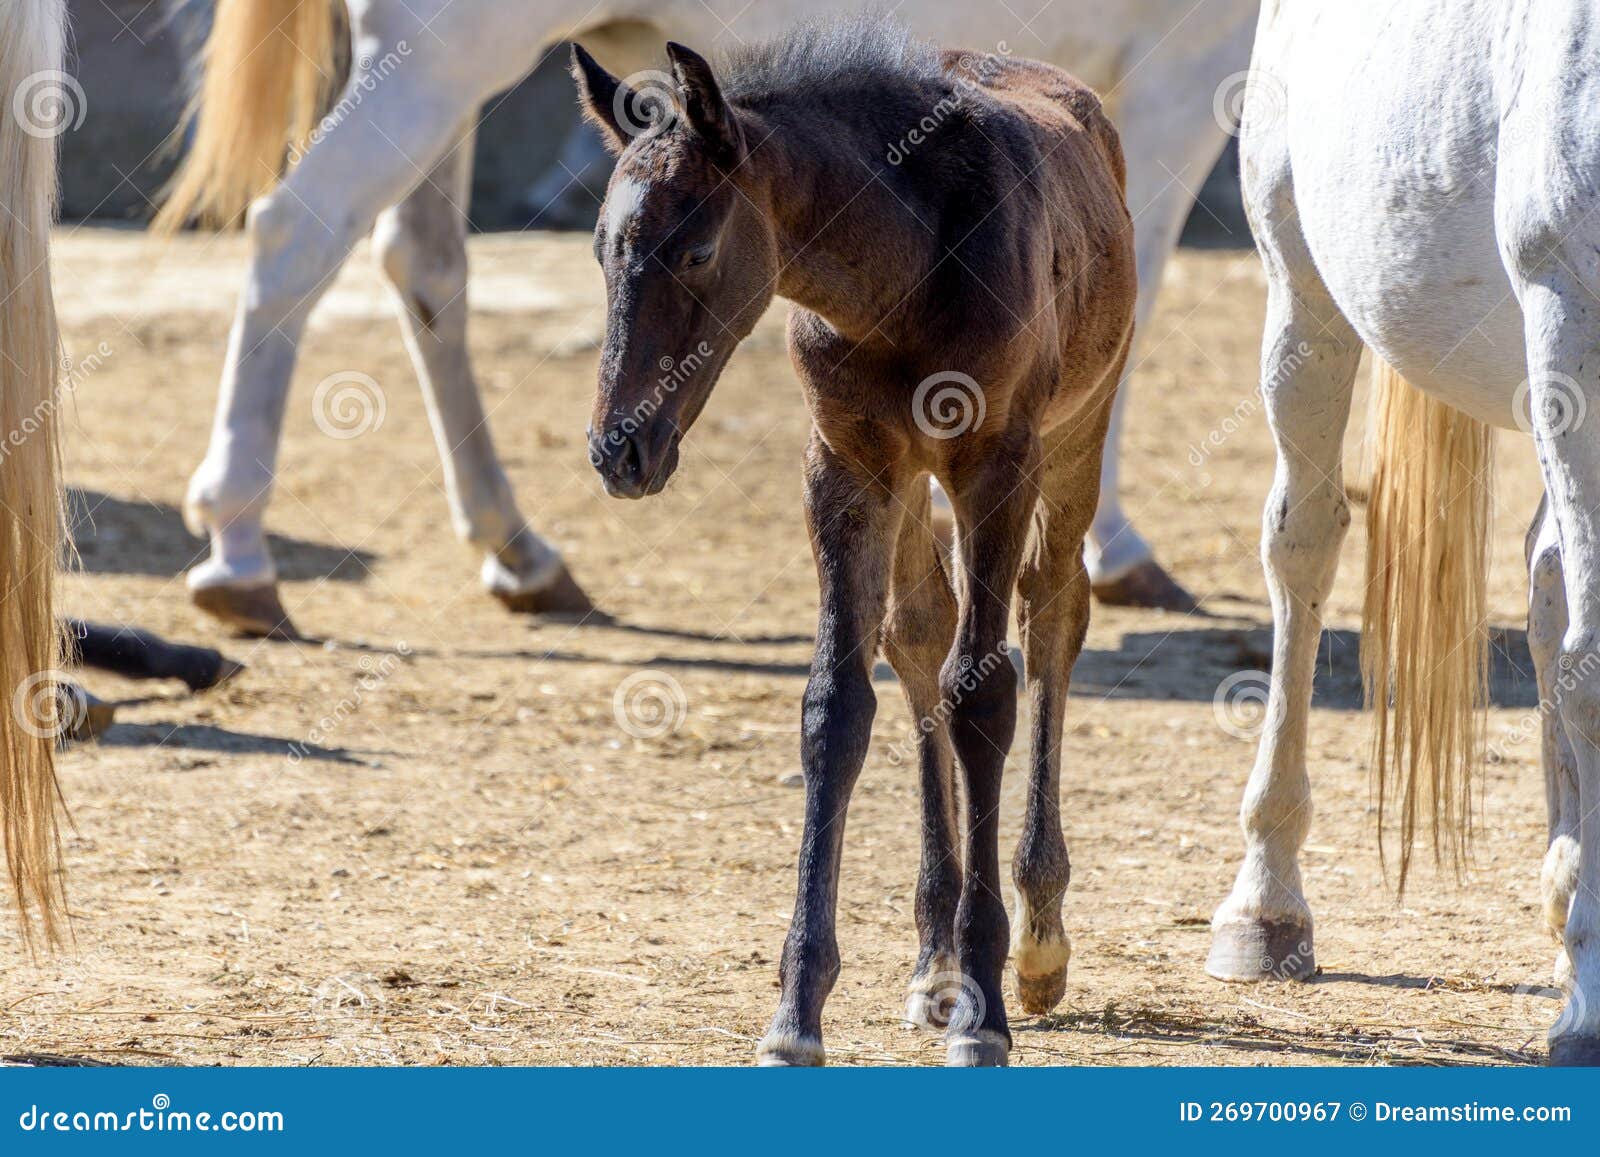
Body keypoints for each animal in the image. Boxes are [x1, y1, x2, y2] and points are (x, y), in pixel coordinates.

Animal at [156, 0, 1258, 637]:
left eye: (691, 254)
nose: (620, 451)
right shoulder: (1188, 68)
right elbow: (1138, 300)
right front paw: (1114, 546)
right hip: (441, 54)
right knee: (299, 228)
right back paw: (239, 546)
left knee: (420, 260)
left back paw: (519, 548)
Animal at [575, 20, 1136, 1066]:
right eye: (599, 250)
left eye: (697, 247)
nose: (618, 449)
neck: (905, 270)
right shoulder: (844, 462)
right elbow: (836, 709)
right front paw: (797, 1013)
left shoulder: (998, 458)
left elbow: (983, 695)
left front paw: (987, 1011)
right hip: (912, 480)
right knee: (919, 631)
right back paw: (935, 961)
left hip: (1079, 428)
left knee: (1051, 615)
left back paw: (1038, 940)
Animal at [1209, 0, 1600, 1065]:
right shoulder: (1575, 334)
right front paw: (1588, 1011)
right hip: (1302, 294)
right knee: (1303, 543)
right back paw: (1266, 909)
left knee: (1544, 586)